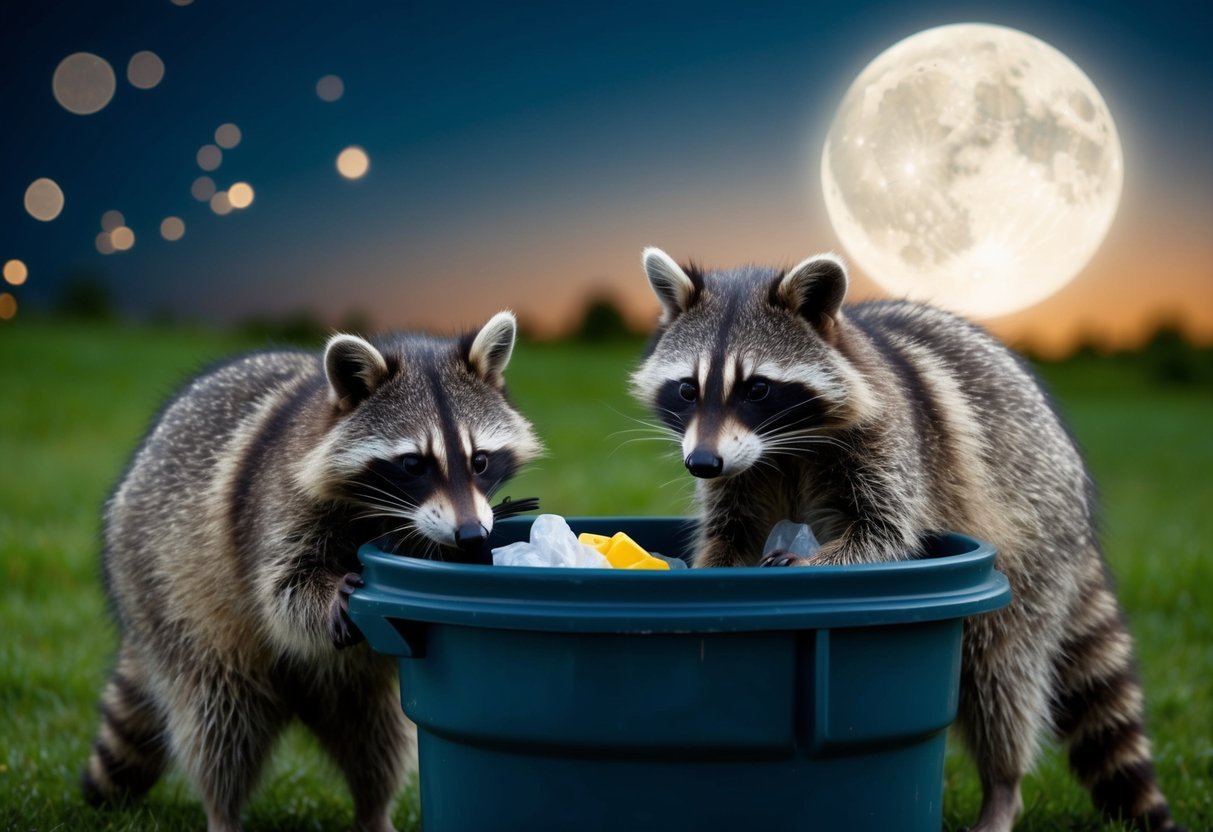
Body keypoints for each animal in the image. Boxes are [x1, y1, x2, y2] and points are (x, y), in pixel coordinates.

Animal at [83, 312, 540, 832]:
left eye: (479, 460)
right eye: (413, 464)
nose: (470, 535)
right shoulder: (275, 502)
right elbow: (280, 589)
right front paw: (328, 595)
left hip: (350, 684)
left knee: (374, 736)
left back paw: (374, 810)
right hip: (171, 600)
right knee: (219, 722)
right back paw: (222, 810)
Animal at [631, 248, 1179, 832]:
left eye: (757, 388)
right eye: (687, 388)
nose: (702, 463)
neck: (782, 447)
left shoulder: (890, 439)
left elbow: (886, 532)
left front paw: (813, 565)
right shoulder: (739, 476)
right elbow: (729, 534)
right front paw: (711, 576)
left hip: (1034, 542)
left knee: (1002, 674)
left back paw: (1002, 786)